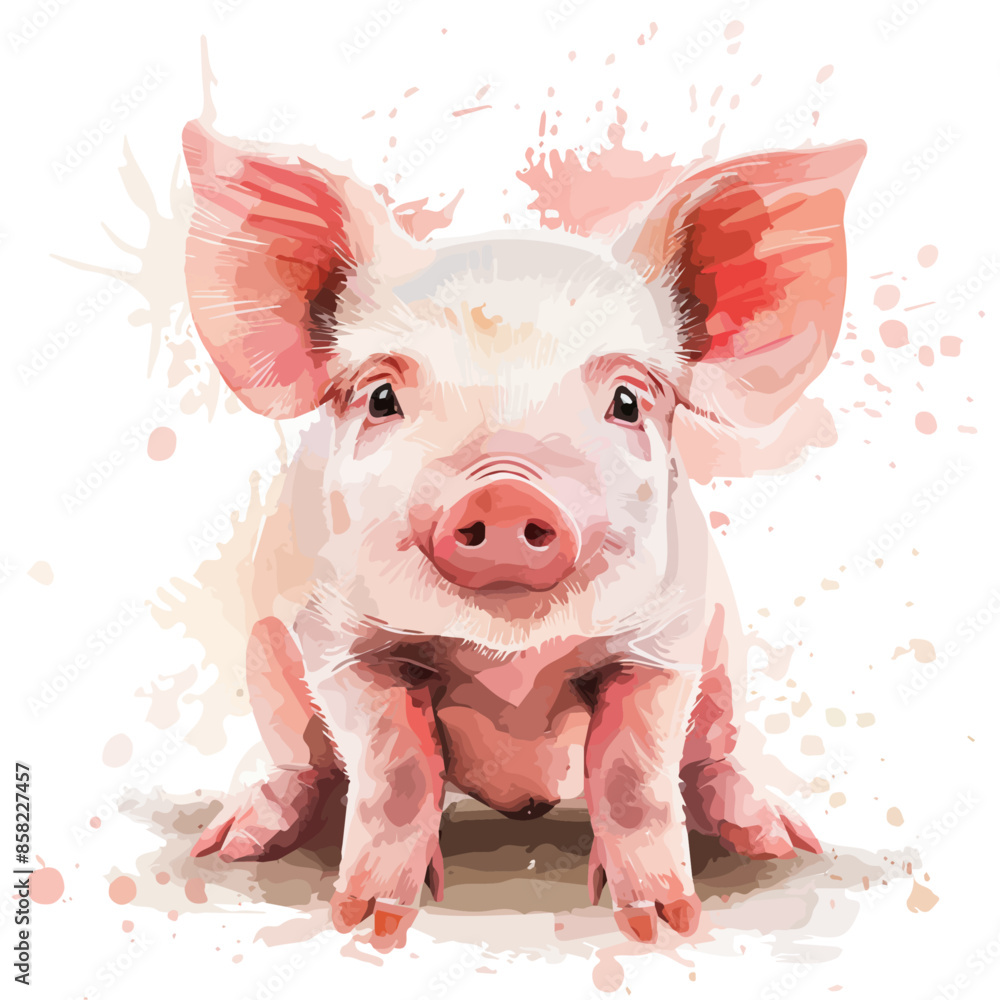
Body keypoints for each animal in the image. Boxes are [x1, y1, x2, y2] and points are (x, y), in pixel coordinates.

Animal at [181, 115, 865, 948]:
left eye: (627, 401)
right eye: (380, 398)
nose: (504, 493)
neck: (511, 662)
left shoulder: (666, 642)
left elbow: (634, 777)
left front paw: (663, 925)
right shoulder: (339, 641)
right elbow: (395, 773)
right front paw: (370, 922)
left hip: (726, 660)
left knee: (710, 759)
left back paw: (780, 838)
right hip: (266, 662)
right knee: (303, 764)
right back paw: (232, 841)